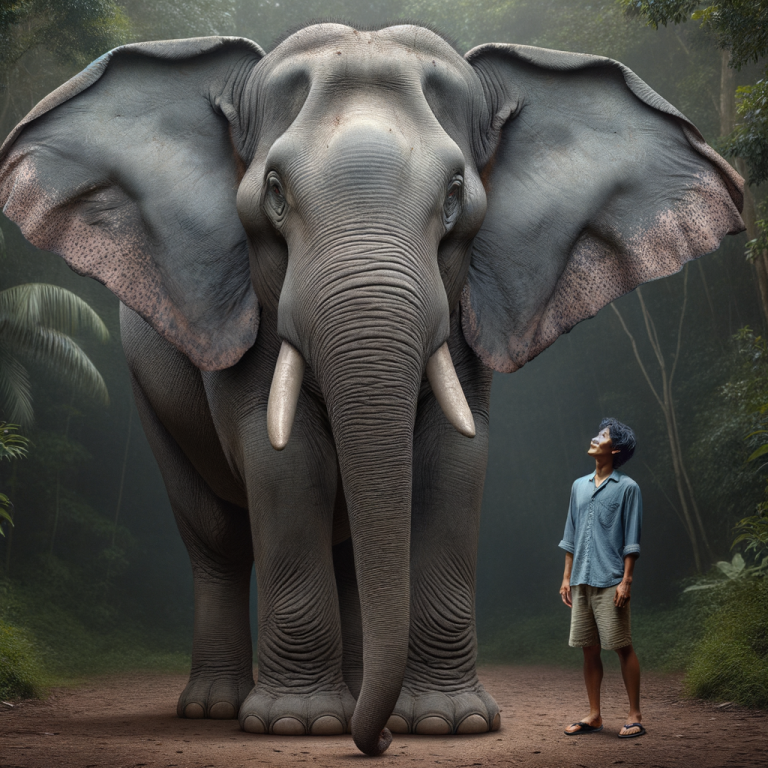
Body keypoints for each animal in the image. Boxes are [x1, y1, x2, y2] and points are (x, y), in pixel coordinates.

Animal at [0, 23, 743, 756]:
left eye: (454, 195)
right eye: (274, 191)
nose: (379, 742)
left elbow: (455, 461)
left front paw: (449, 723)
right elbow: (284, 464)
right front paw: (296, 724)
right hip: (149, 389)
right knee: (216, 536)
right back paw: (219, 708)